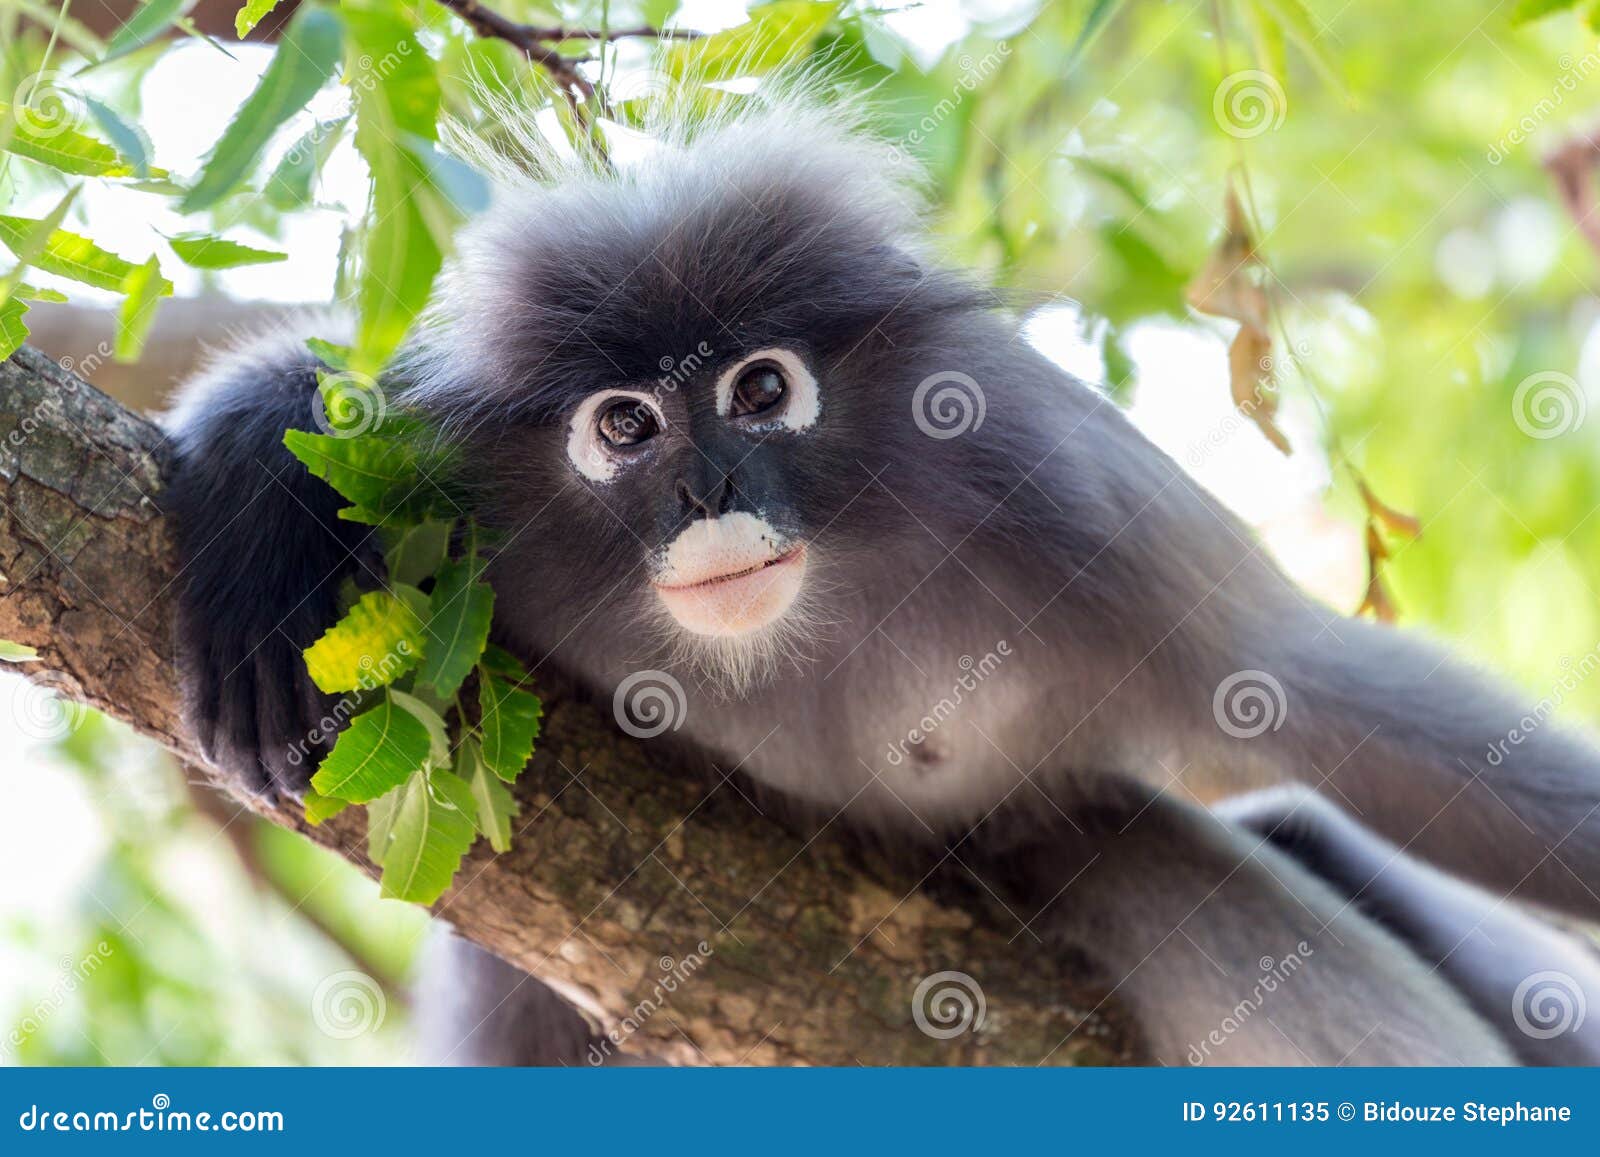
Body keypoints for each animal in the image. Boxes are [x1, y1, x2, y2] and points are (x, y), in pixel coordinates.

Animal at [163, 94, 1600, 1066]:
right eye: (625, 425)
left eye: (760, 390)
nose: (710, 496)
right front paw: (257, 498)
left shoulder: (1076, 498)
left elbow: (1322, 698)